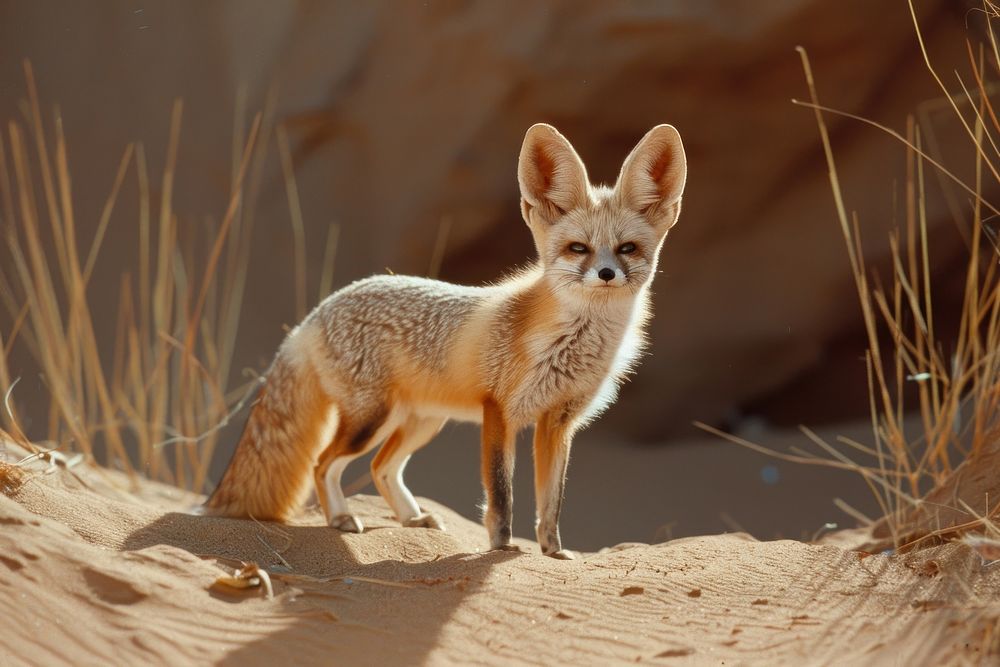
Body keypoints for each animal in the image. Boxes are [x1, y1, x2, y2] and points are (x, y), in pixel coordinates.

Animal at [204, 123, 687, 559]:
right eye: (578, 249)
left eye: (626, 249)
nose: (606, 274)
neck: (566, 344)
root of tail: (315, 314)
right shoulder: (500, 412)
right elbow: (501, 494)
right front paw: (501, 548)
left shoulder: (558, 423)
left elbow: (551, 502)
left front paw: (553, 552)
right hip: (371, 420)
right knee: (323, 463)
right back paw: (341, 518)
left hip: (420, 422)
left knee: (381, 468)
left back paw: (411, 519)